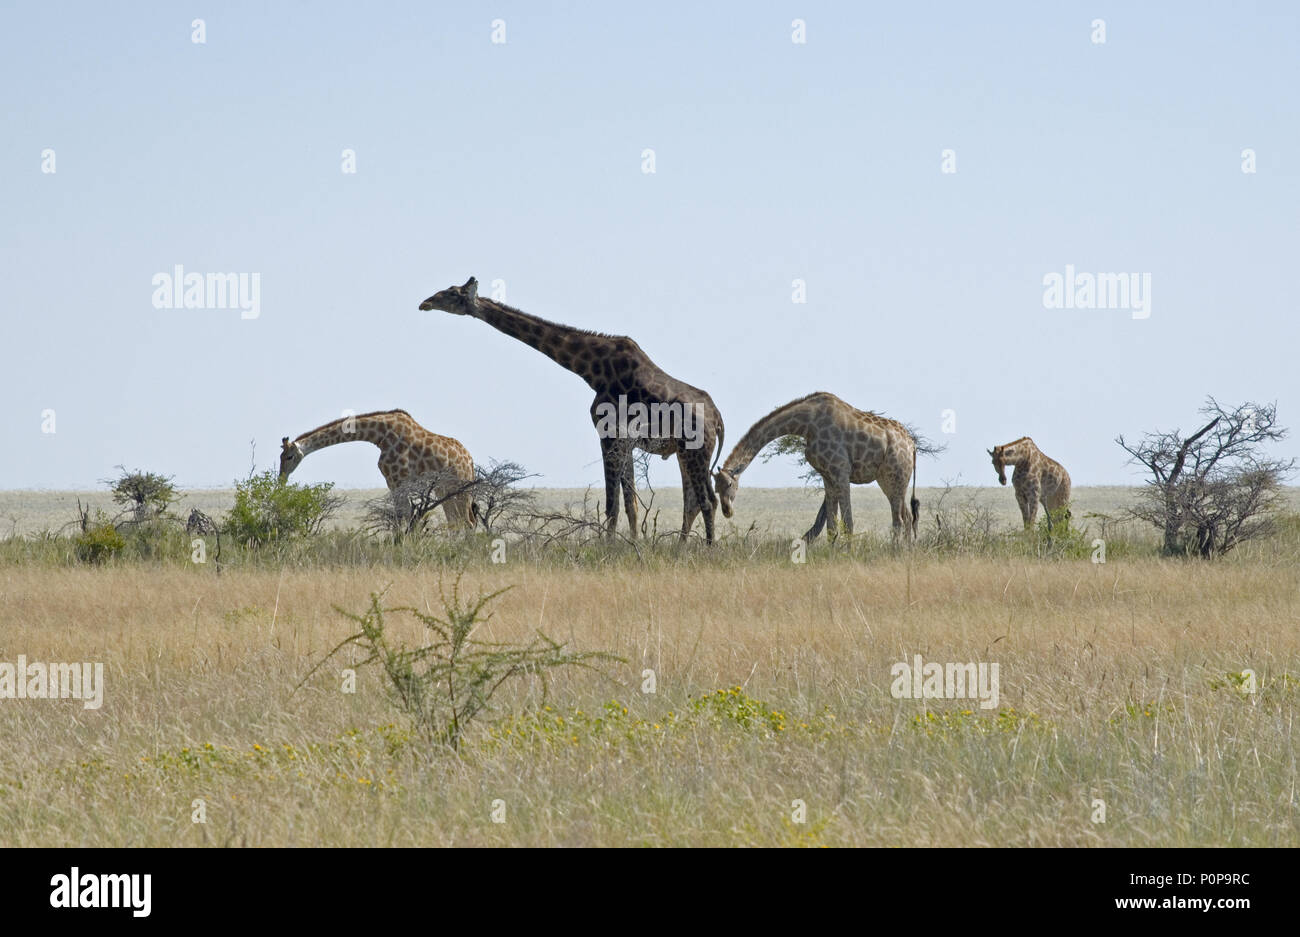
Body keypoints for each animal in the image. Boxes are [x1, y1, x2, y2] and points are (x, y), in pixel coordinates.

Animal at [279, 409, 478, 529]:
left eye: (289, 457)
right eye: (280, 457)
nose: (281, 479)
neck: (379, 435)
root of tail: (470, 461)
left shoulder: (396, 479)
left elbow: (403, 515)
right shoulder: (393, 482)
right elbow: (402, 515)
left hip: (460, 487)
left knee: (467, 522)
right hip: (444, 489)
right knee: (456, 521)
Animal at [418, 277, 725, 543]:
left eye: (452, 293)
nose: (425, 303)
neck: (591, 370)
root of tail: (719, 420)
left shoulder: (609, 433)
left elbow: (613, 504)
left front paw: (608, 547)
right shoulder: (625, 440)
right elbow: (631, 504)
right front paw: (632, 544)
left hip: (695, 451)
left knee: (707, 501)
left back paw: (708, 550)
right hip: (687, 452)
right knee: (694, 502)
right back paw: (682, 547)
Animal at [713, 391, 919, 543]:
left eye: (729, 484)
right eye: (715, 489)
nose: (727, 511)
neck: (806, 425)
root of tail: (912, 445)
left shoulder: (841, 471)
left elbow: (848, 522)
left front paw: (849, 553)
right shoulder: (827, 475)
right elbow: (832, 525)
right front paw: (833, 553)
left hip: (895, 474)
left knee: (899, 519)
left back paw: (895, 550)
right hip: (890, 479)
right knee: (907, 517)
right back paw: (907, 550)